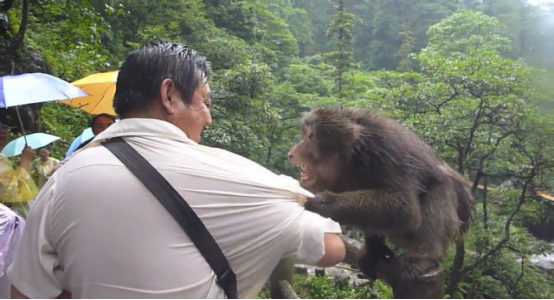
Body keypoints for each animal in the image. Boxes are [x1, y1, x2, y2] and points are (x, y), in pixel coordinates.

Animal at [286, 106, 472, 298]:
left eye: (311, 136)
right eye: (305, 133)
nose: (291, 153)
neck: (354, 155)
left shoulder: (383, 151)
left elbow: (405, 209)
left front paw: (324, 204)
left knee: (441, 188)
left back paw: (426, 255)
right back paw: (374, 250)